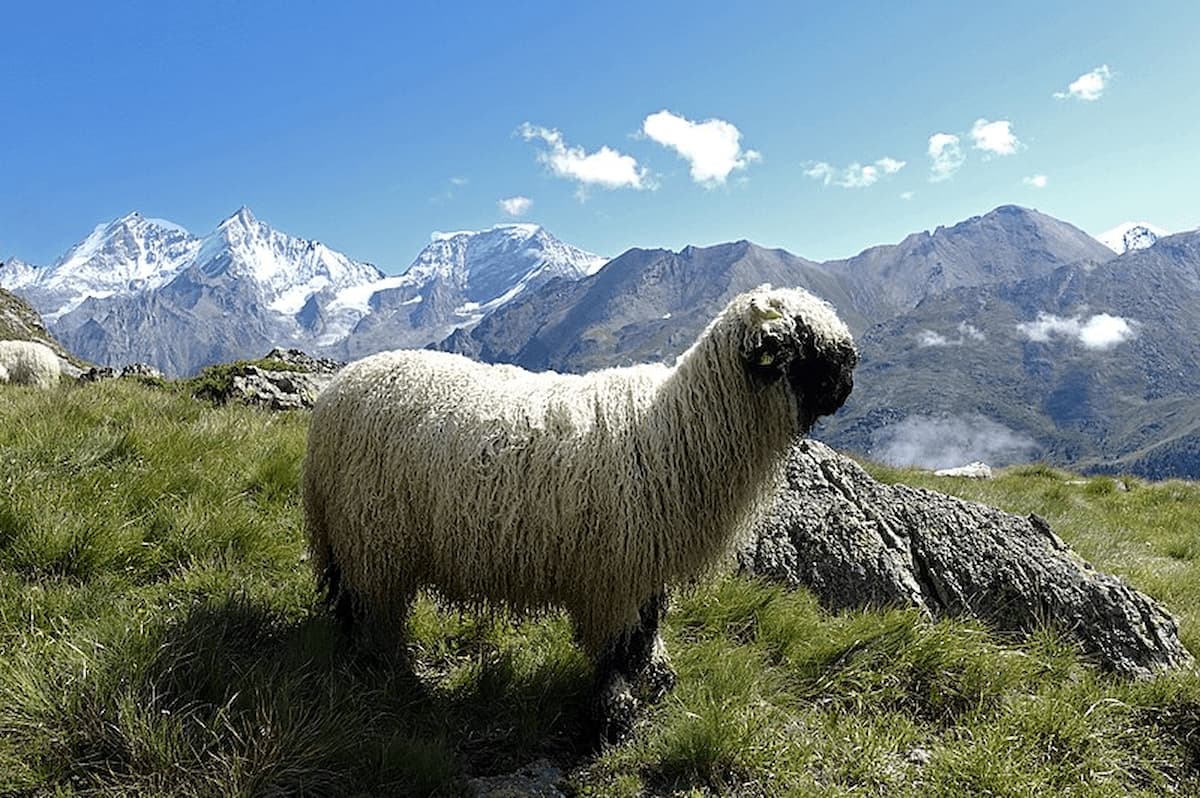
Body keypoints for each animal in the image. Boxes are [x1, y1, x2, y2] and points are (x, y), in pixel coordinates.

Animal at [303, 284, 857, 740]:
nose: (848, 383)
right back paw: (378, 671)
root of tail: (338, 391)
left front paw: (657, 677)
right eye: (805, 347)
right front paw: (615, 715)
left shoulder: (645, 567)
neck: (682, 425)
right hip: (370, 533)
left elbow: (647, 629)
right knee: (365, 606)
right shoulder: (614, 573)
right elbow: (617, 649)